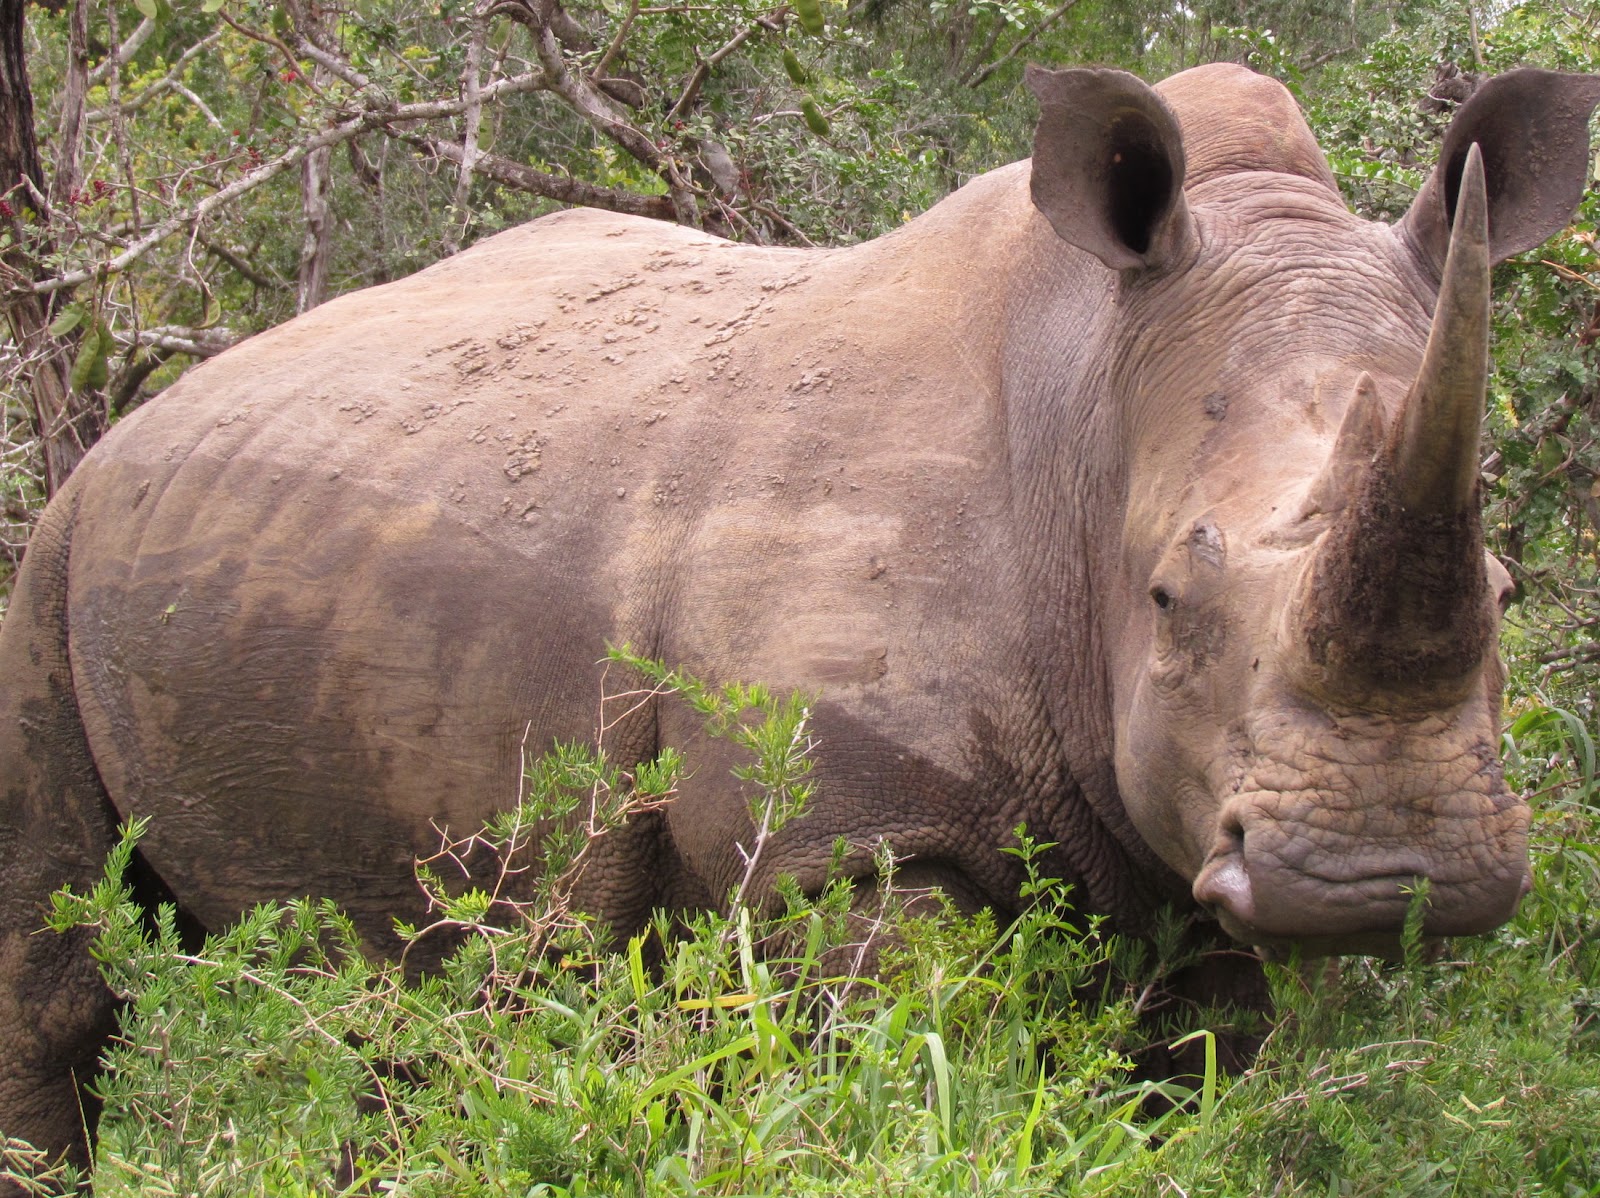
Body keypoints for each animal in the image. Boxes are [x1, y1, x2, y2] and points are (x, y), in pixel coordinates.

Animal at [3, 61, 1599, 1170]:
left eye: (1507, 594)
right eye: (1165, 596)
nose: (1390, 877)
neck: (1085, 409)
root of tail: (145, 415)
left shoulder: (1175, 866)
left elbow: (1190, 1071)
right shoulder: (849, 841)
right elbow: (926, 1067)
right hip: (58, 551)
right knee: (64, 967)